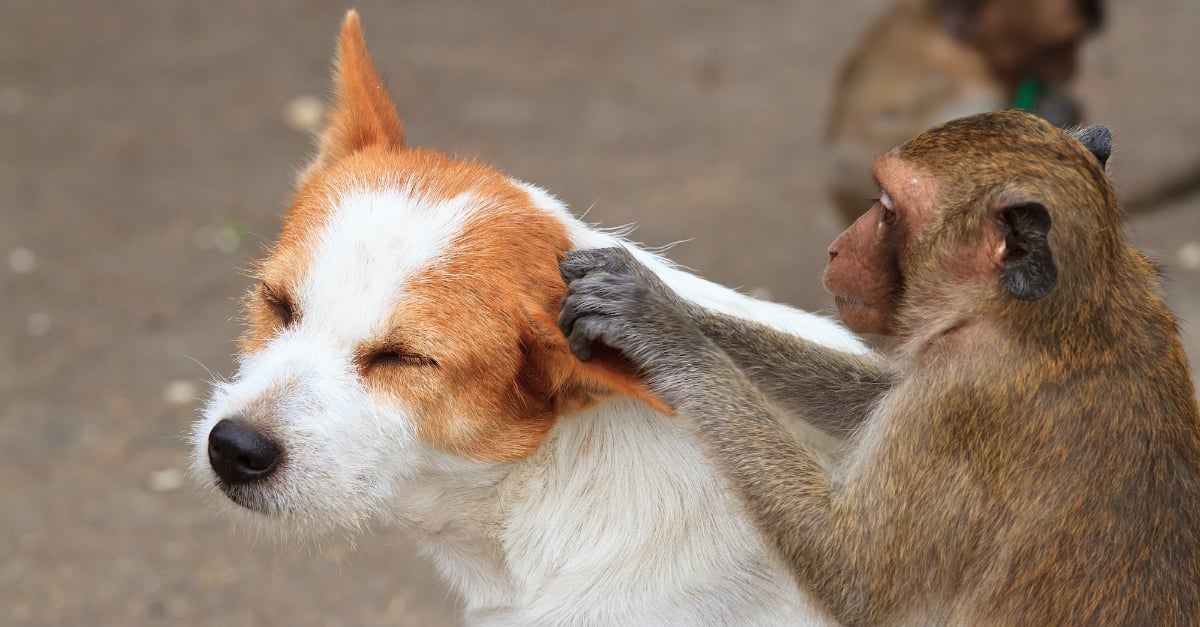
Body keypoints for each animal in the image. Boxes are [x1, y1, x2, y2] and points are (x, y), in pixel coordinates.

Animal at [558, 110, 1200, 625]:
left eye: (888, 208)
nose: (838, 246)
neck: (1069, 306)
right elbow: (872, 399)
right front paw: (677, 305)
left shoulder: (960, 399)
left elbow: (851, 575)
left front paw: (662, 328)